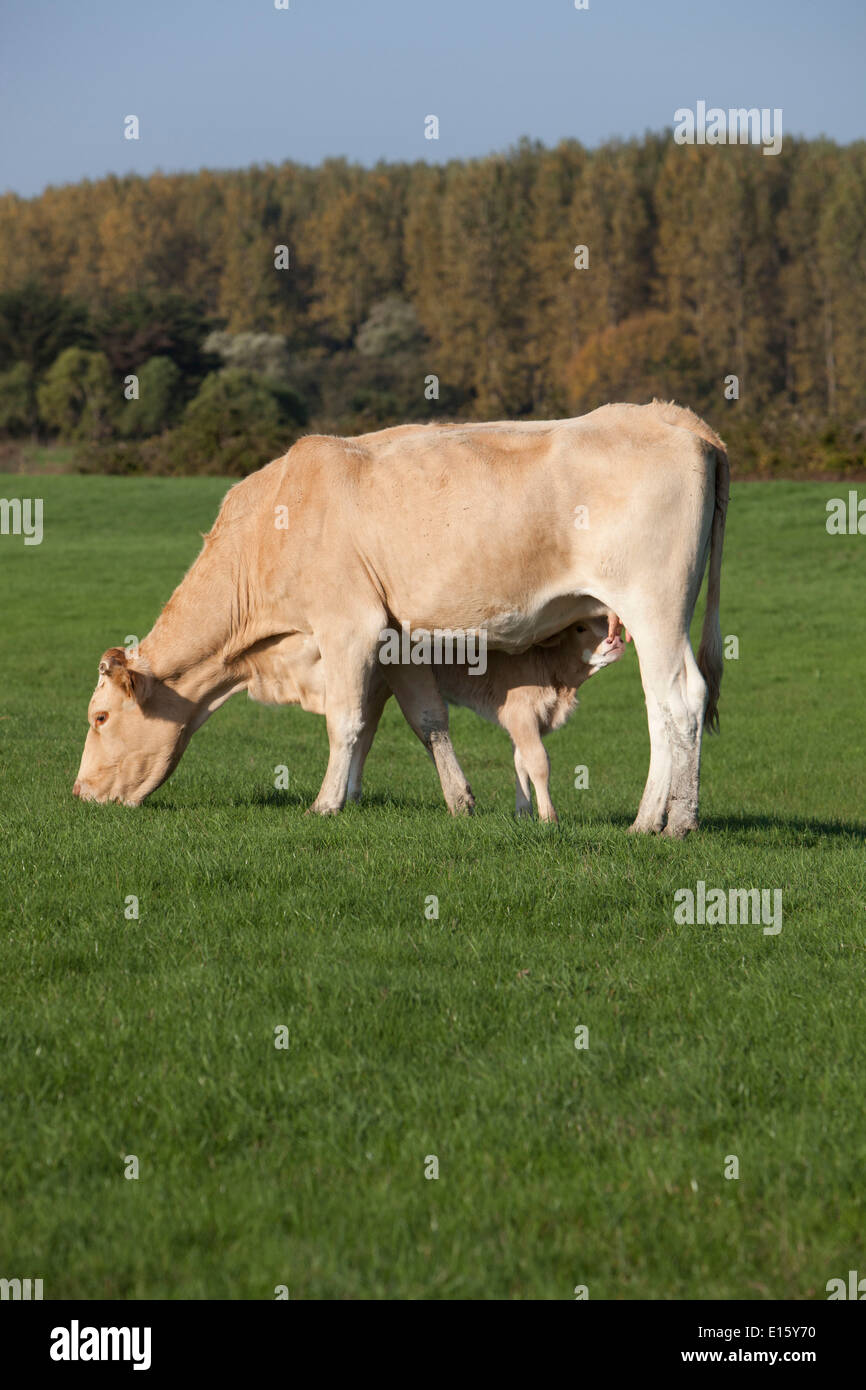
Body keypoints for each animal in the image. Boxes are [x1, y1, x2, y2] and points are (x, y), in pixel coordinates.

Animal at [74, 400, 728, 837]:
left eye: (100, 717)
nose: (79, 793)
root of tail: (673, 417)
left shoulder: (348, 626)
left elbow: (345, 721)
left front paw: (327, 803)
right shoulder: (399, 640)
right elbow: (426, 720)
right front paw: (458, 802)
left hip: (653, 605)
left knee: (675, 701)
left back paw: (667, 821)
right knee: (674, 701)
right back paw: (665, 816)